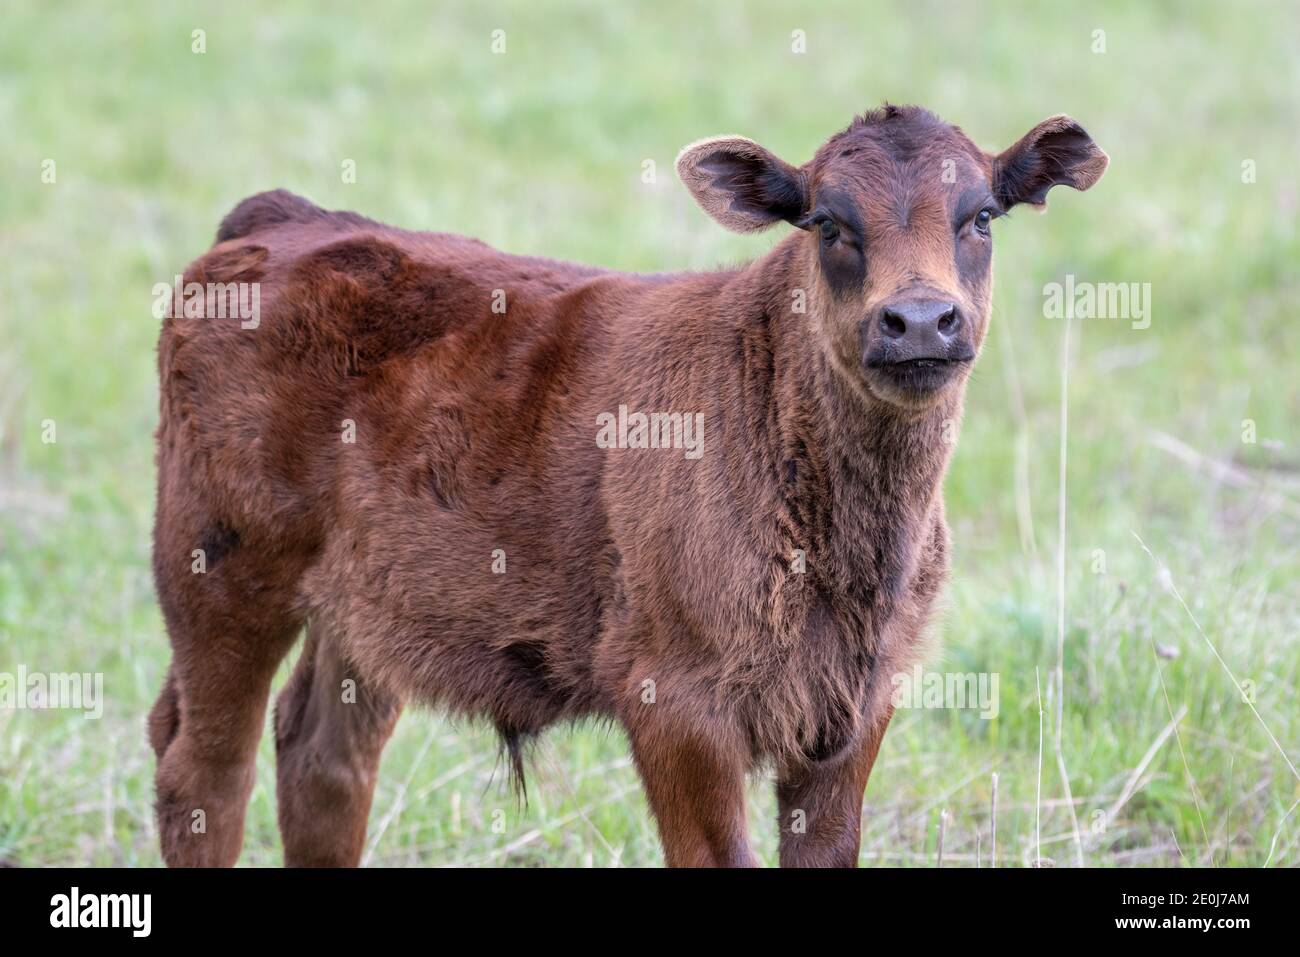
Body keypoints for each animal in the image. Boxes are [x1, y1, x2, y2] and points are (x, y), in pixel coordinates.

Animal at [149, 104, 1106, 867]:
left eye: (981, 216)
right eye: (828, 223)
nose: (919, 321)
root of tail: (290, 219)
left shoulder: (856, 707)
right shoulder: (676, 704)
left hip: (362, 612)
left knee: (322, 761)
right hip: (218, 576)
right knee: (202, 769)